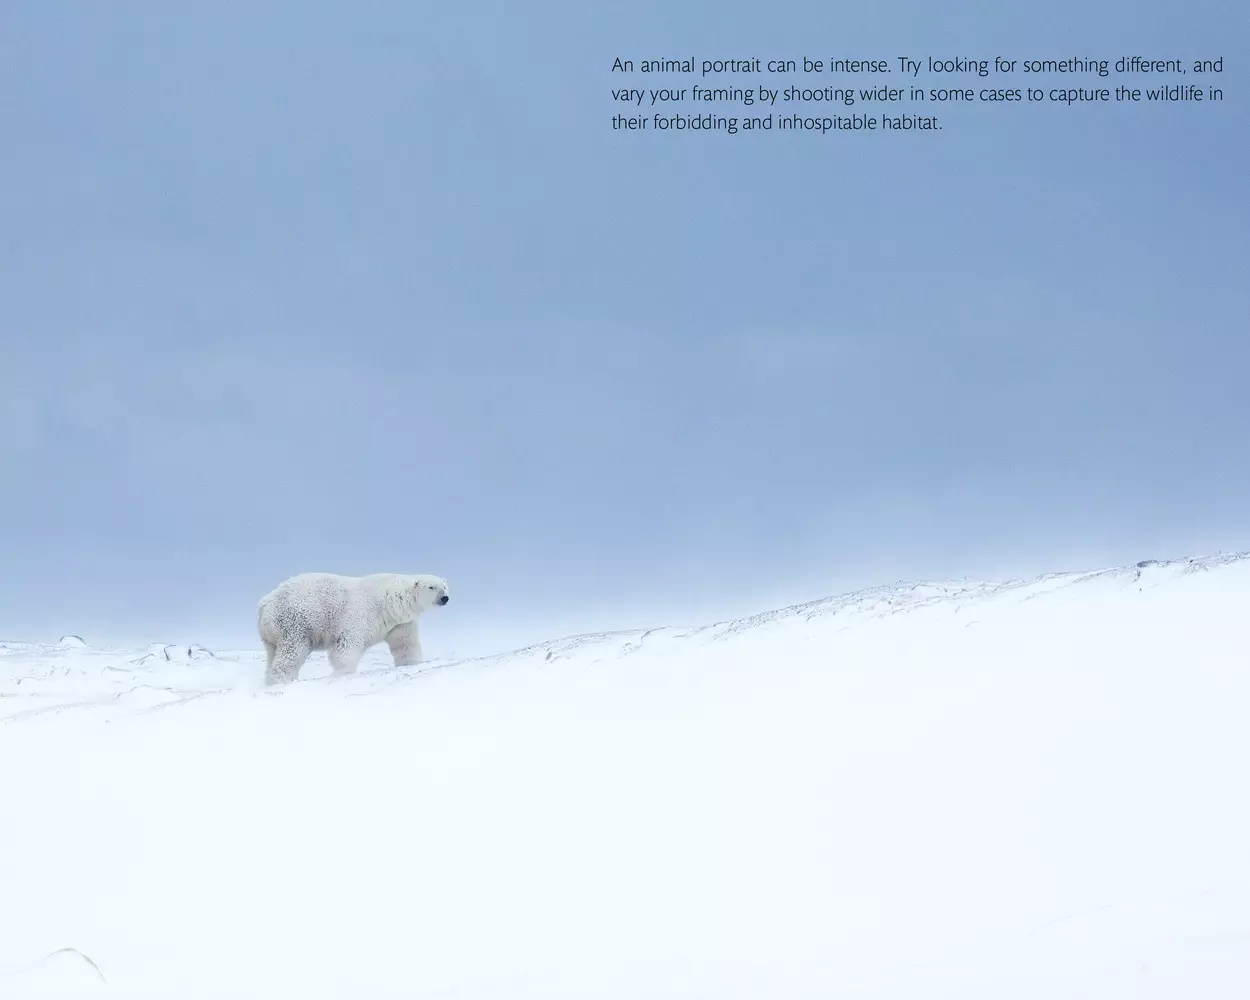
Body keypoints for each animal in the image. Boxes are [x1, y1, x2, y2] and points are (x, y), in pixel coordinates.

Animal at [253, 575, 450, 685]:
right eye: (431, 587)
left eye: (444, 586)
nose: (445, 598)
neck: (388, 600)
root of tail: (264, 603)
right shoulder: (359, 614)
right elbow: (346, 645)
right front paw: (341, 674)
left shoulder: (400, 623)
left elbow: (405, 644)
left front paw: (410, 664)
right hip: (294, 622)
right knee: (292, 653)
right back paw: (281, 681)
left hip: (271, 634)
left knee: (272, 654)